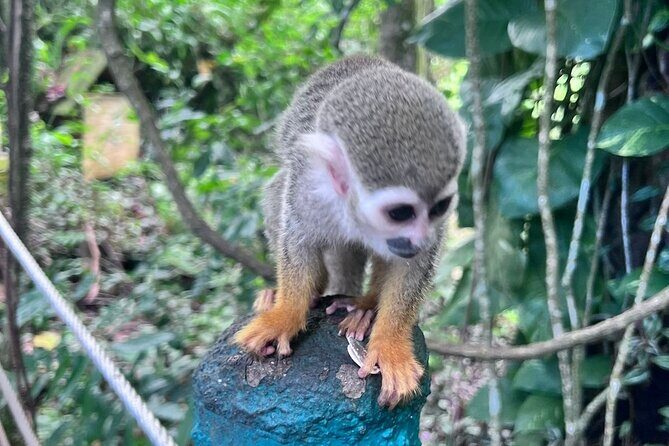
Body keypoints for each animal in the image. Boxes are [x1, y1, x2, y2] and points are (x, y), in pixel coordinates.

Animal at [234, 55, 466, 408]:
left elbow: (413, 266)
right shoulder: (308, 185)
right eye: (400, 213)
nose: (420, 237)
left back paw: (365, 305)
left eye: (440, 207)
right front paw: (285, 314)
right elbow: (298, 241)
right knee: (277, 192)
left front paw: (390, 343)